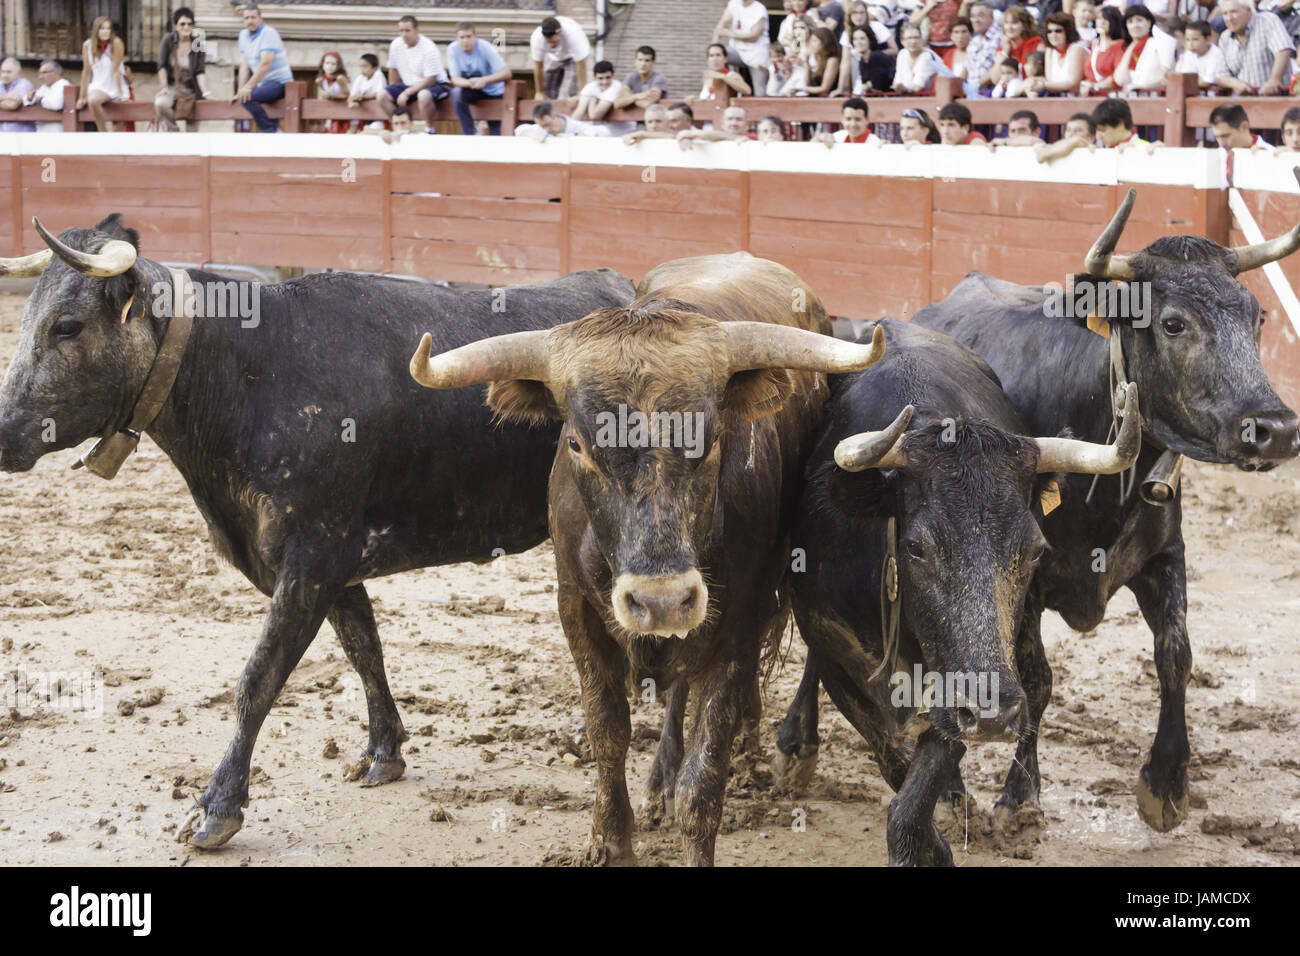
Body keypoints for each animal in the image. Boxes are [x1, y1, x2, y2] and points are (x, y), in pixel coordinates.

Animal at [0, 214, 635, 849]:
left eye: (67, 325)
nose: (3, 432)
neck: (250, 373)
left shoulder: (312, 558)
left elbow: (258, 678)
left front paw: (218, 806)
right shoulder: (331, 567)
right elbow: (363, 649)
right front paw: (384, 752)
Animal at [410, 251, 887, 865]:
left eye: (712, 439)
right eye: (577, 444)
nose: (660, 601)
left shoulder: (737, 624)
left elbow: (704, 781)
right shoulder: (576, 609)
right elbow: (608, 731)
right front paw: (611, 839)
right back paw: (661, 777)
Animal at [786, 318, 1140, 865]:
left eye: (1035, 550)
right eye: (915, 547)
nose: (994, 711)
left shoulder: (955, 689)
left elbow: (920, 784)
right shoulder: (833, 654)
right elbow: (893, 762)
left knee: (1038, 681)